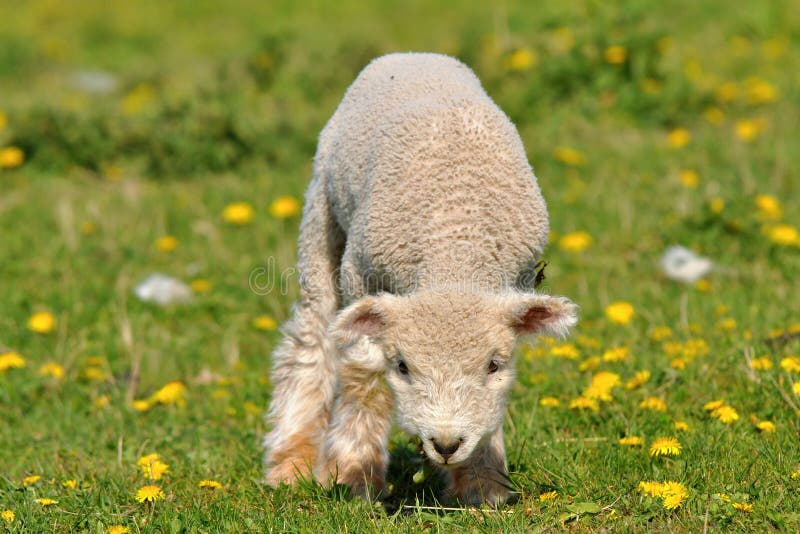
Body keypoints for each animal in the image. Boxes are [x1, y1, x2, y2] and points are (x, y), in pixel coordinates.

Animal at [263, 52, 578, 506]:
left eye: (494, 365)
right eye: (403, 367)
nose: (446, 444)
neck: (455, 239)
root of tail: (411, 56)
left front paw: (483, 483)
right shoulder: (362, 272)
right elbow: (365, 378)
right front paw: (356, 475)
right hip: (322, 211)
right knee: (311, 336)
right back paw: (292, 462)